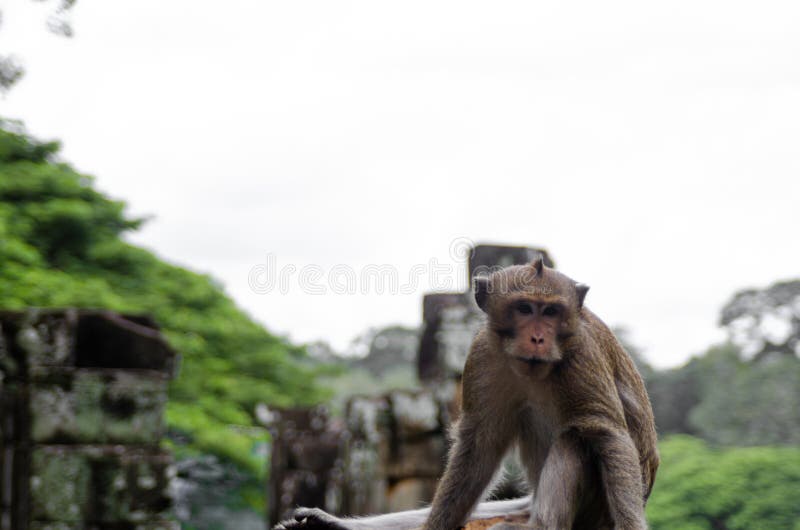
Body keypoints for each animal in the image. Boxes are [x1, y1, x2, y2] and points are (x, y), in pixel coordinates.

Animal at [276, 257, 659, 530]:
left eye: (551, 311)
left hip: (594, 511)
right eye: (524, 308)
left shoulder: (581, 353)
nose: (538, 338)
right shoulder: (482, 354)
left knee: (574, 439)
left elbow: (606, 434)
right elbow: (479, 449)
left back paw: (539, 526)